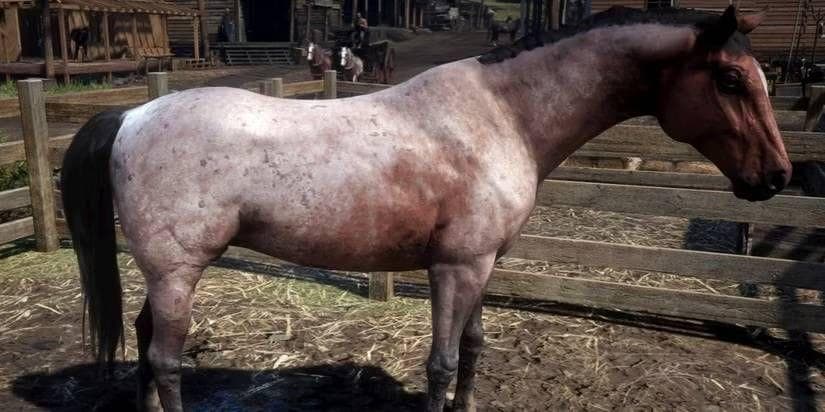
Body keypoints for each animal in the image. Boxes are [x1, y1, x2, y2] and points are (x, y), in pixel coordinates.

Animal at [61, 6, 790, 412]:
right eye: (729, 79)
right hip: (178, 272)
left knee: (144, 339)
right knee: (164, 359)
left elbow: (472, 346)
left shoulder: (483, 263)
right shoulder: (454, 268)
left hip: (166, 275)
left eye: (758, 78)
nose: (777, 177)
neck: (502, 115)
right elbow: (440, 360)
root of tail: (132, 115)